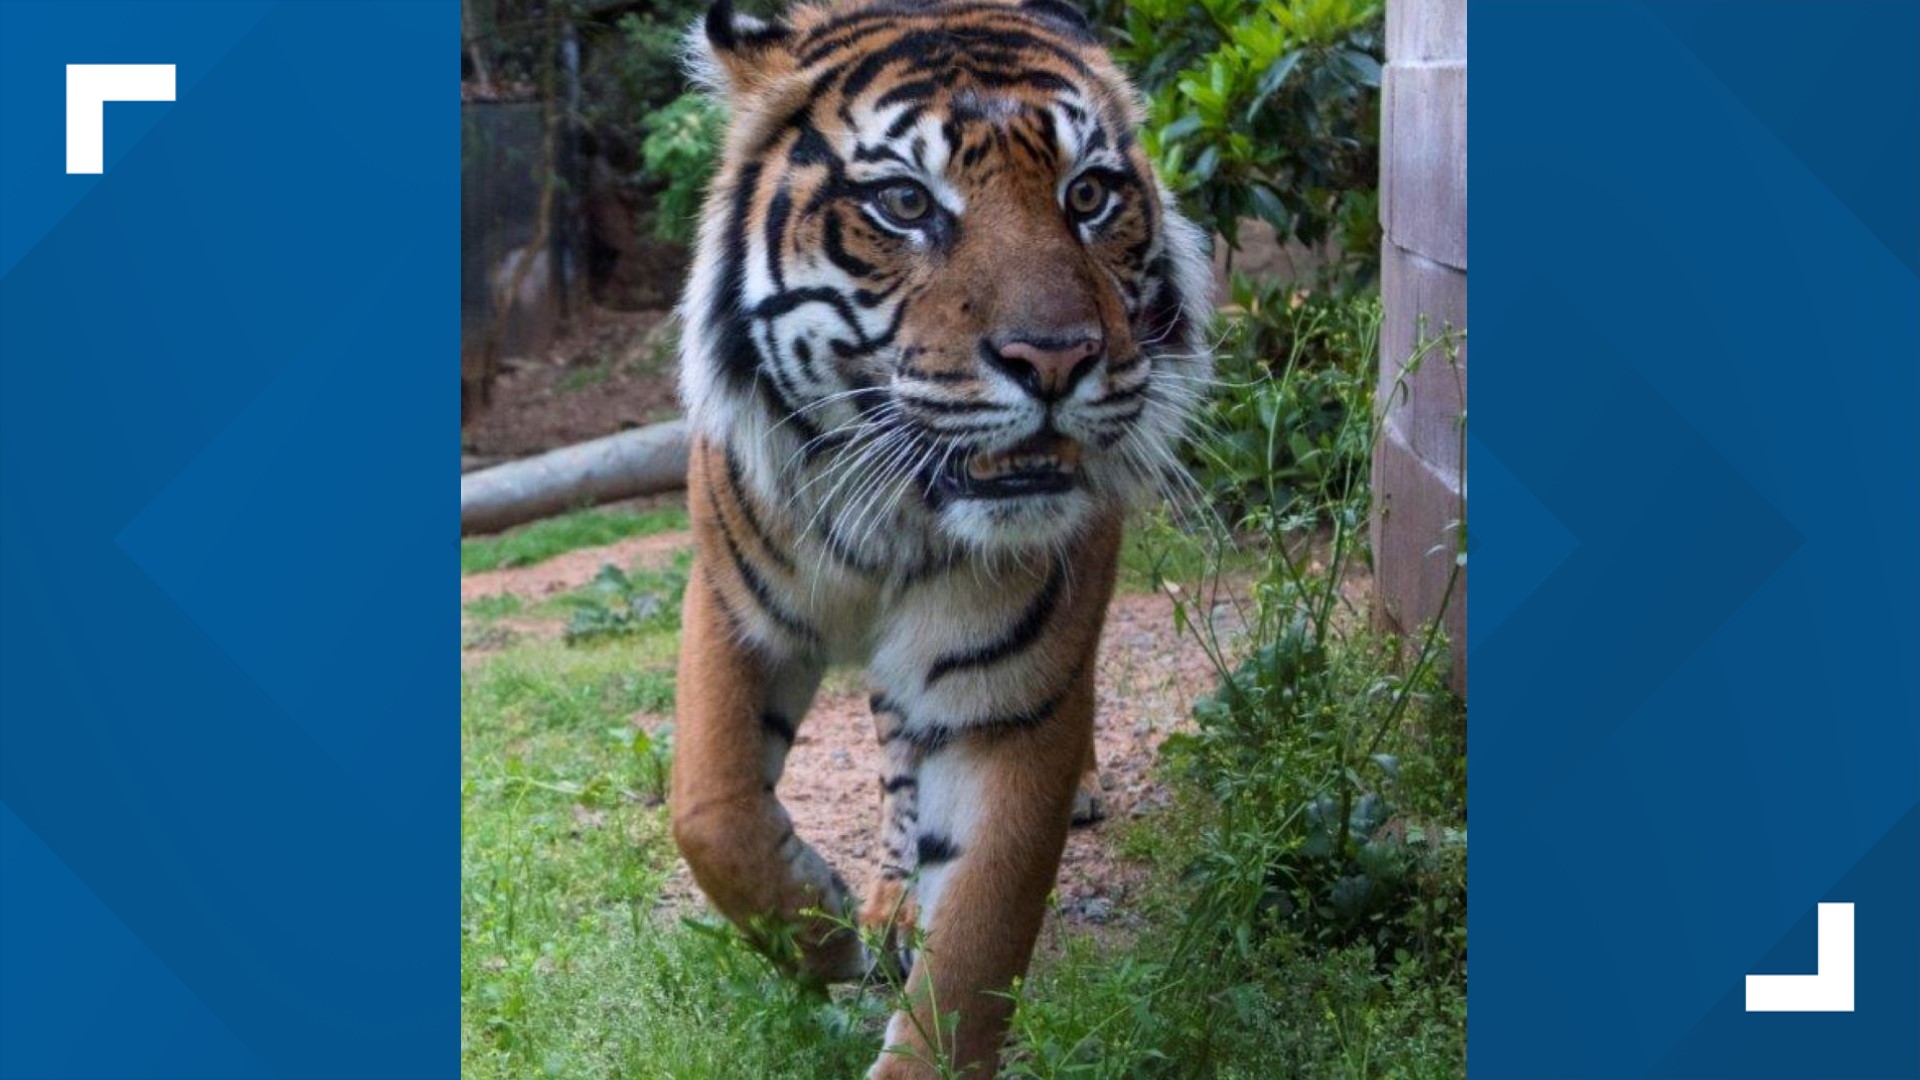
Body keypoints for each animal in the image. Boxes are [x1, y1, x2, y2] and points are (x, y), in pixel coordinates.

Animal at [667, 0, 1212, 1074]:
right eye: (906, 204)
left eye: (1089, 194)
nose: (1057, 359)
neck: (893, 507)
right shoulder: (732, 602)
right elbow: (709, 803)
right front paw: (825, 931)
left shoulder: (1012, 699)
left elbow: (974, 946)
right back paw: (881, 901)